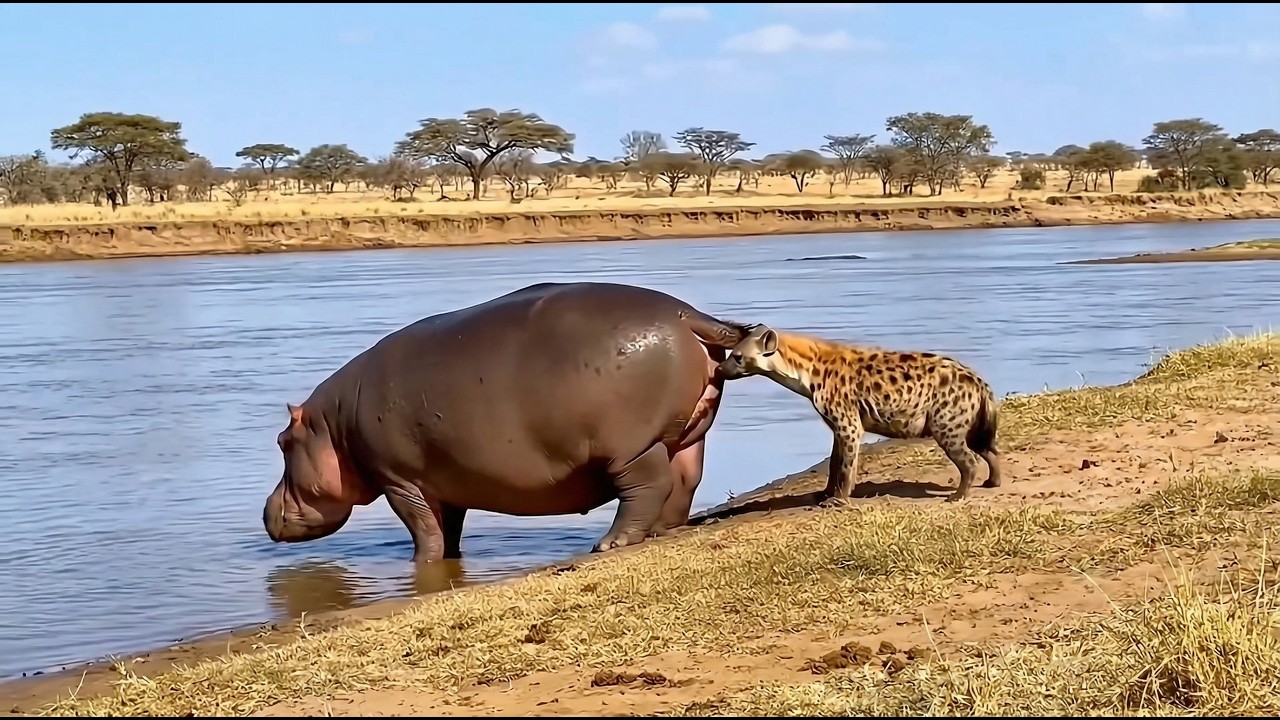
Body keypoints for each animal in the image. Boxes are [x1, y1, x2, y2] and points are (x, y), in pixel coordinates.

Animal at [262, 281, 751, 562]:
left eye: (282, 441)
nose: (266, 511)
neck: (333, 427)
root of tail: (686, 315)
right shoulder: (445, 481)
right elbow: (448, 528)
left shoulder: (399, 481)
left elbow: (423, 531)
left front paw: (420, 565)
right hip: (688, 437)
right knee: (683, 481)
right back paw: (663, 531)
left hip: (630, 448)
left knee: (647, 486)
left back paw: (610, 543)